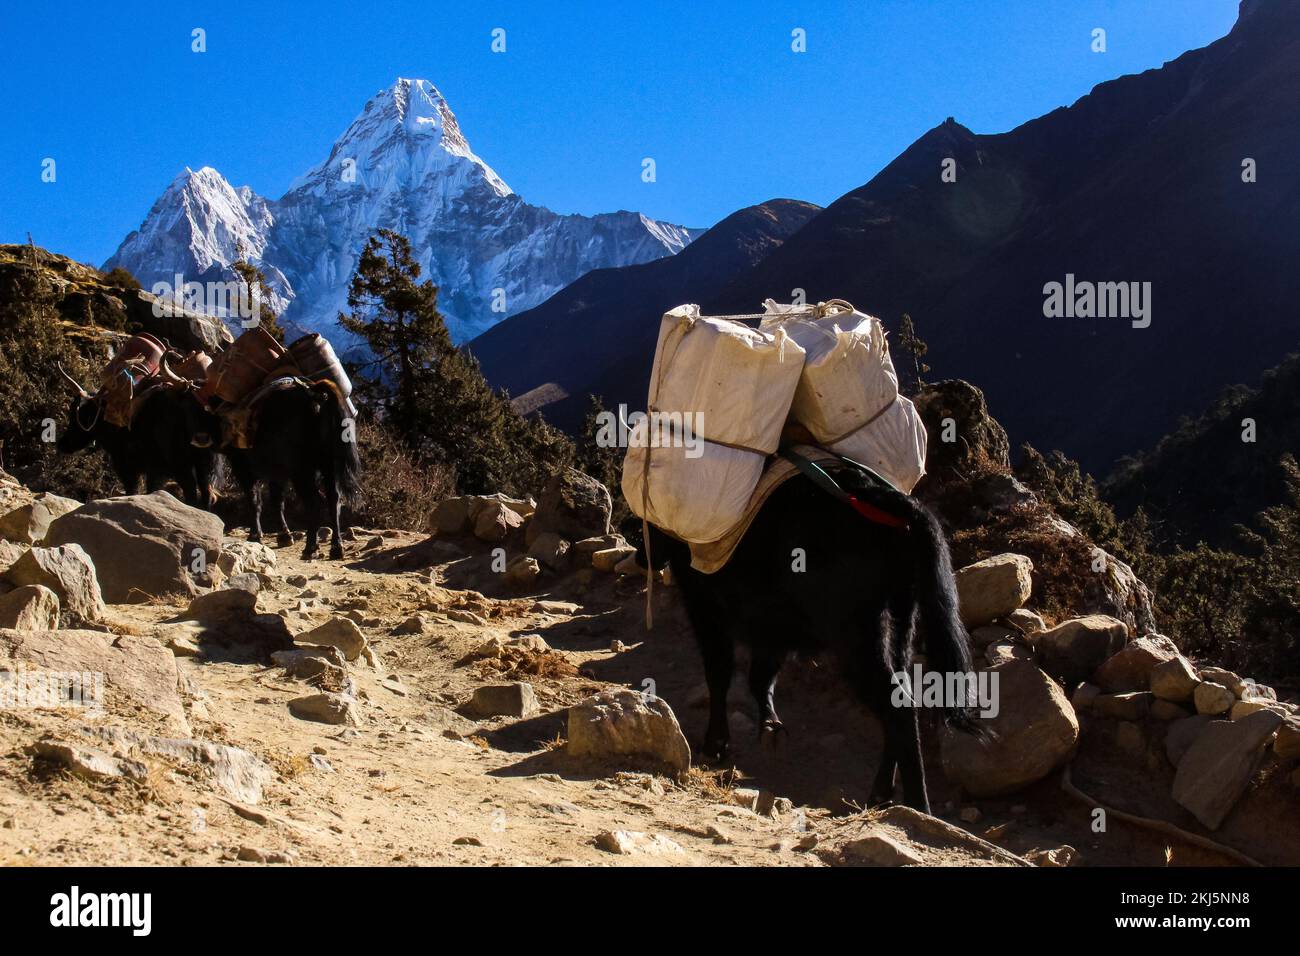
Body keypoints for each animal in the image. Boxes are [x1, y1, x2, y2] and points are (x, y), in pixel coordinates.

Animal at [636, 460, 988, 812]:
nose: (641, 556)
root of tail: (892, 504)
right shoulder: (770, 629)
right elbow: (760, 677)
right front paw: (770, 729)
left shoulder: (704, 605)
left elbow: (720, 673)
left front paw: (715, 745)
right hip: (901, 623)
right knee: (903, 700)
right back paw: (881, 796)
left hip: (858, 639)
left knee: (896, 706)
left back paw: (916, 805)